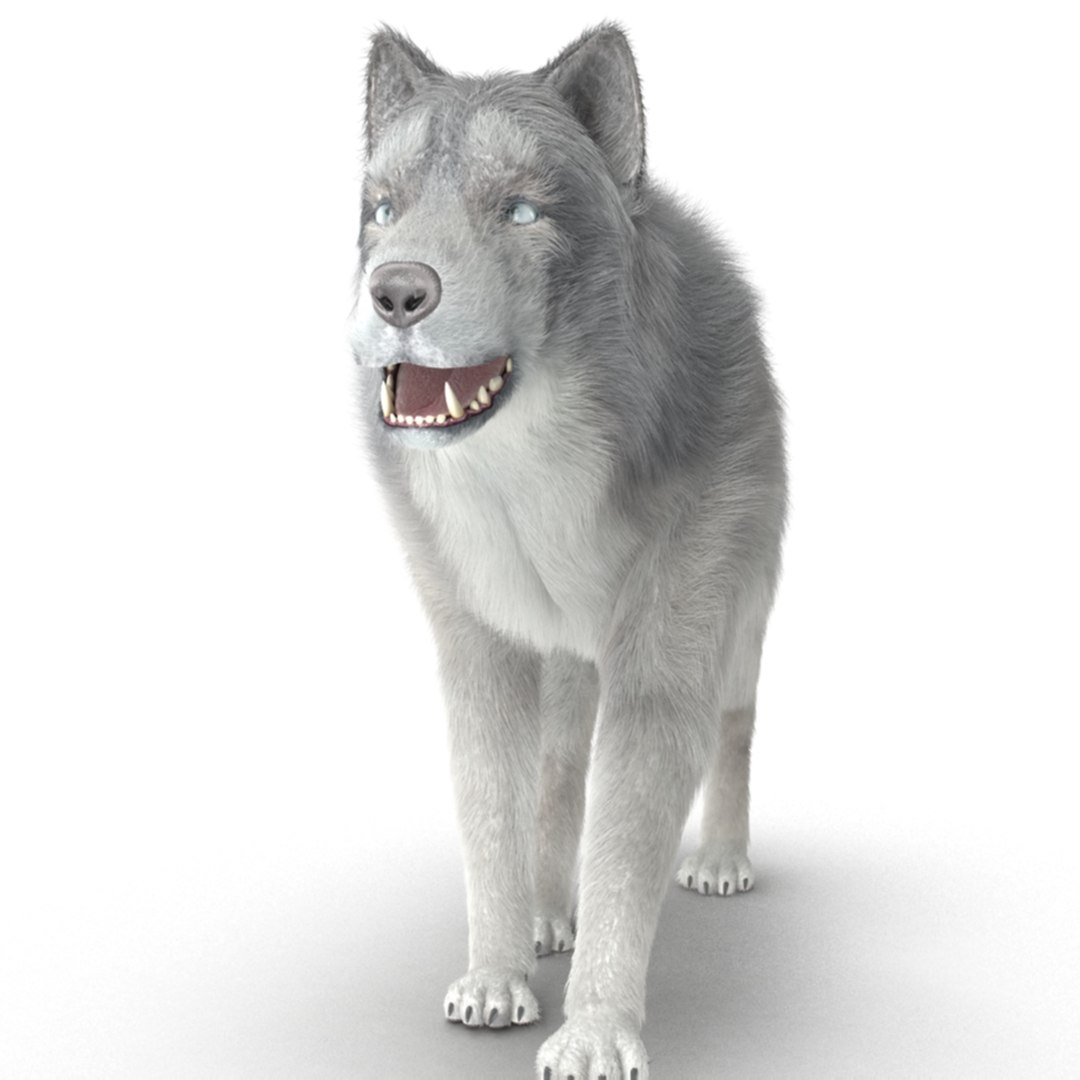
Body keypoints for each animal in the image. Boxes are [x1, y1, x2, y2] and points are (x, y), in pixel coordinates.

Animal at [349, 24, 786, 1079]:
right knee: (553, 774)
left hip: (739, 628)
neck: (527, 485)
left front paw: (592, 1032)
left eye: (519, 211)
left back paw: (719, 864)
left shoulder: (662, 661)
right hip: (560, 663)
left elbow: (626, 845)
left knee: (736, 730)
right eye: (384, 209)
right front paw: (498, 976)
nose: (396, 292)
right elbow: (493, 811)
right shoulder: (478, 647)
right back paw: (549, 915)